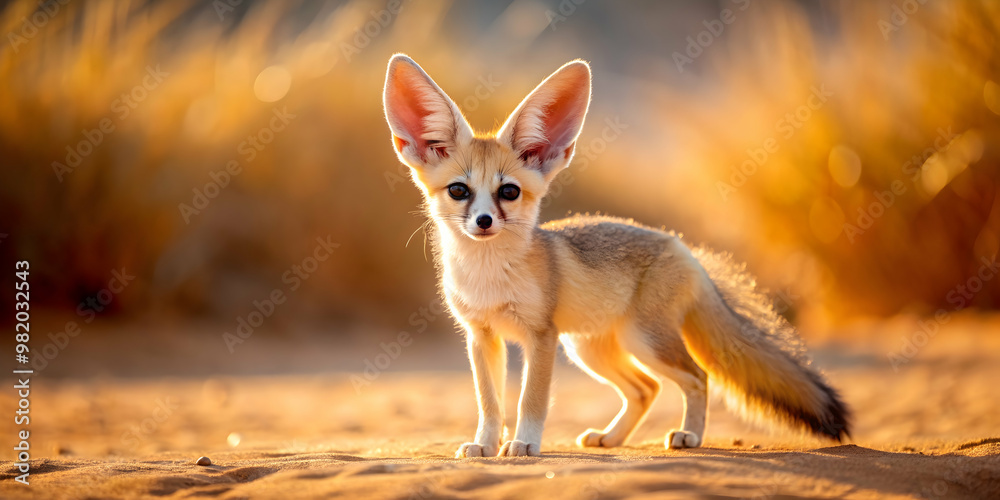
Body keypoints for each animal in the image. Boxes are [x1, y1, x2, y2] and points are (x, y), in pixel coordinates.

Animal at [382, 54, 851, 458]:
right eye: (459, 190)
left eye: (509, 192)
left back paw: (690, 436)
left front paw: (525, 444)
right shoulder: (481, 336)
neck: (489, 278)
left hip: (641, 341)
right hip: (592, 350)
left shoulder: (541, 337)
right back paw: (611, 438)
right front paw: (484, 444)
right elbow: (489, 403)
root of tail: (684, 247)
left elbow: (532, 399)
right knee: (646, 389)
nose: (483, 222)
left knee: (698, 377)